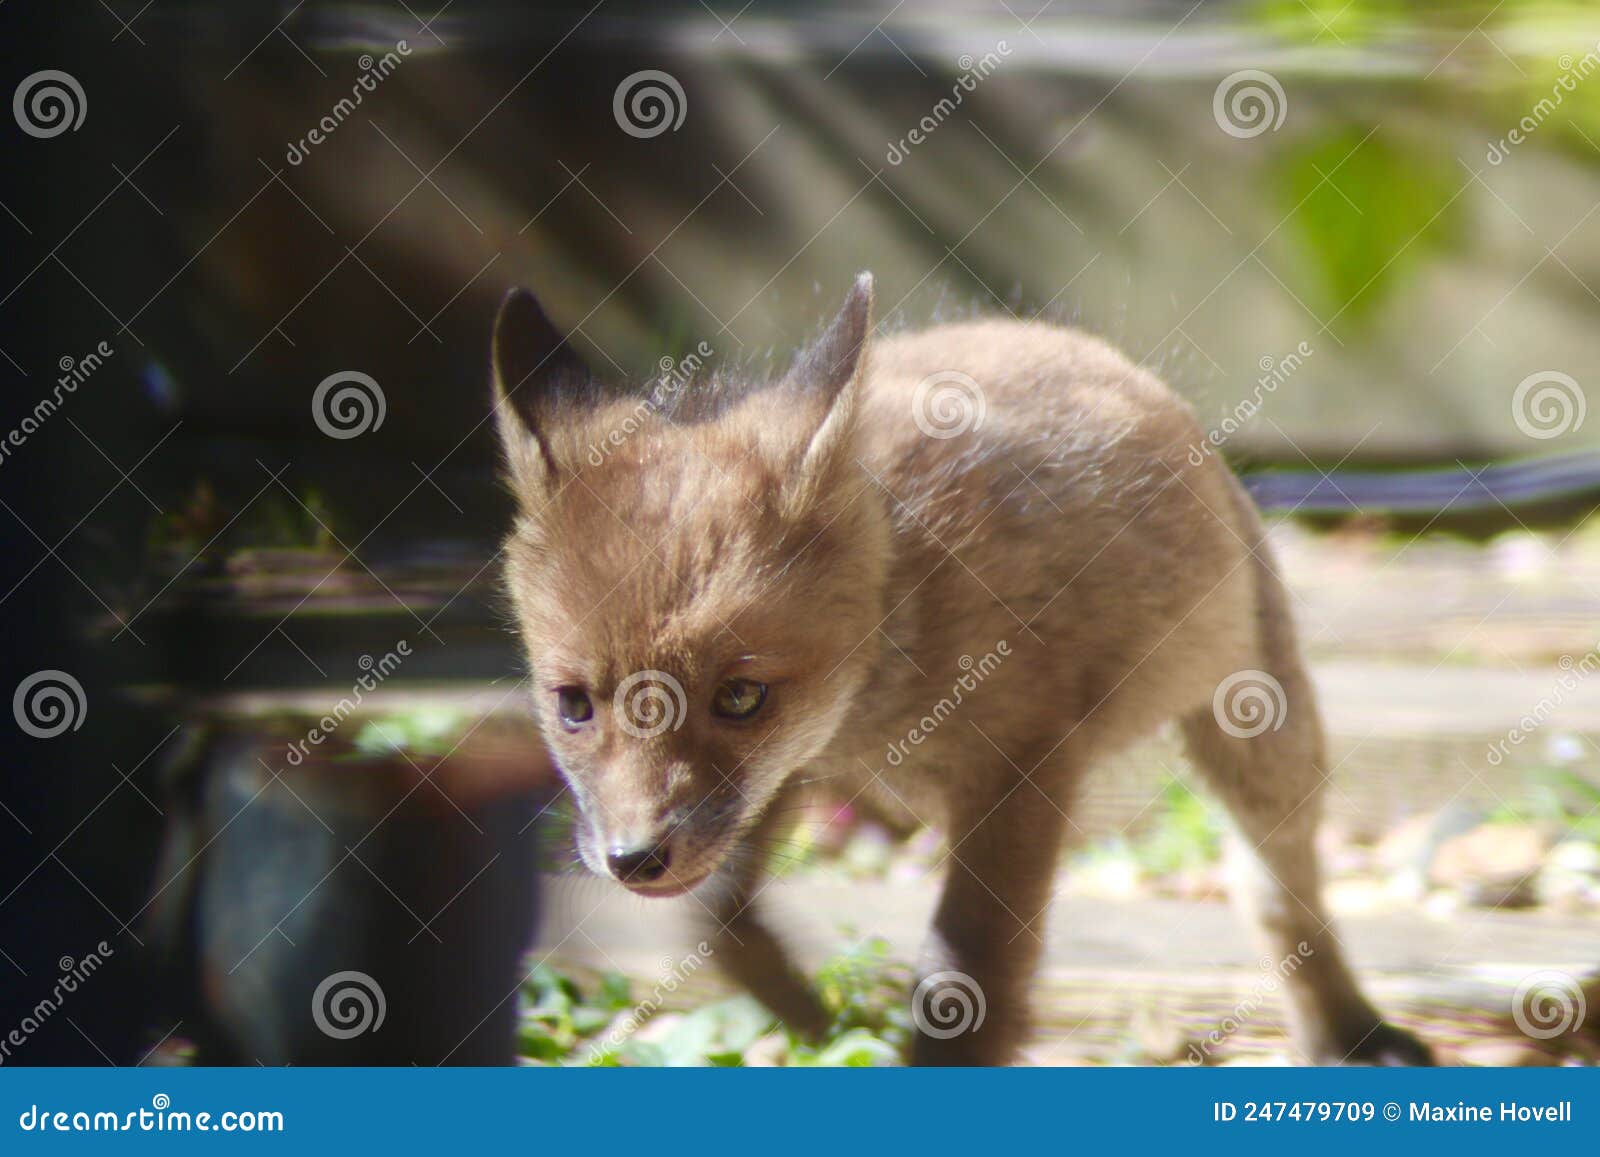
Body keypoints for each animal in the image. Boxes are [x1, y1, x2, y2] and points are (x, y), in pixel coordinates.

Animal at [490, 273, 1432, 1066]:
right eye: (572, 705)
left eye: (741, 695)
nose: (633, 858)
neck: (901, 609)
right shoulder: (785, 778)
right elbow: (715, 918)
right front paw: (818, 1024)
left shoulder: (1021, 765)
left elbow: (962, 976)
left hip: (1261, 737)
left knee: (1276, 892)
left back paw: (1345, 1029)